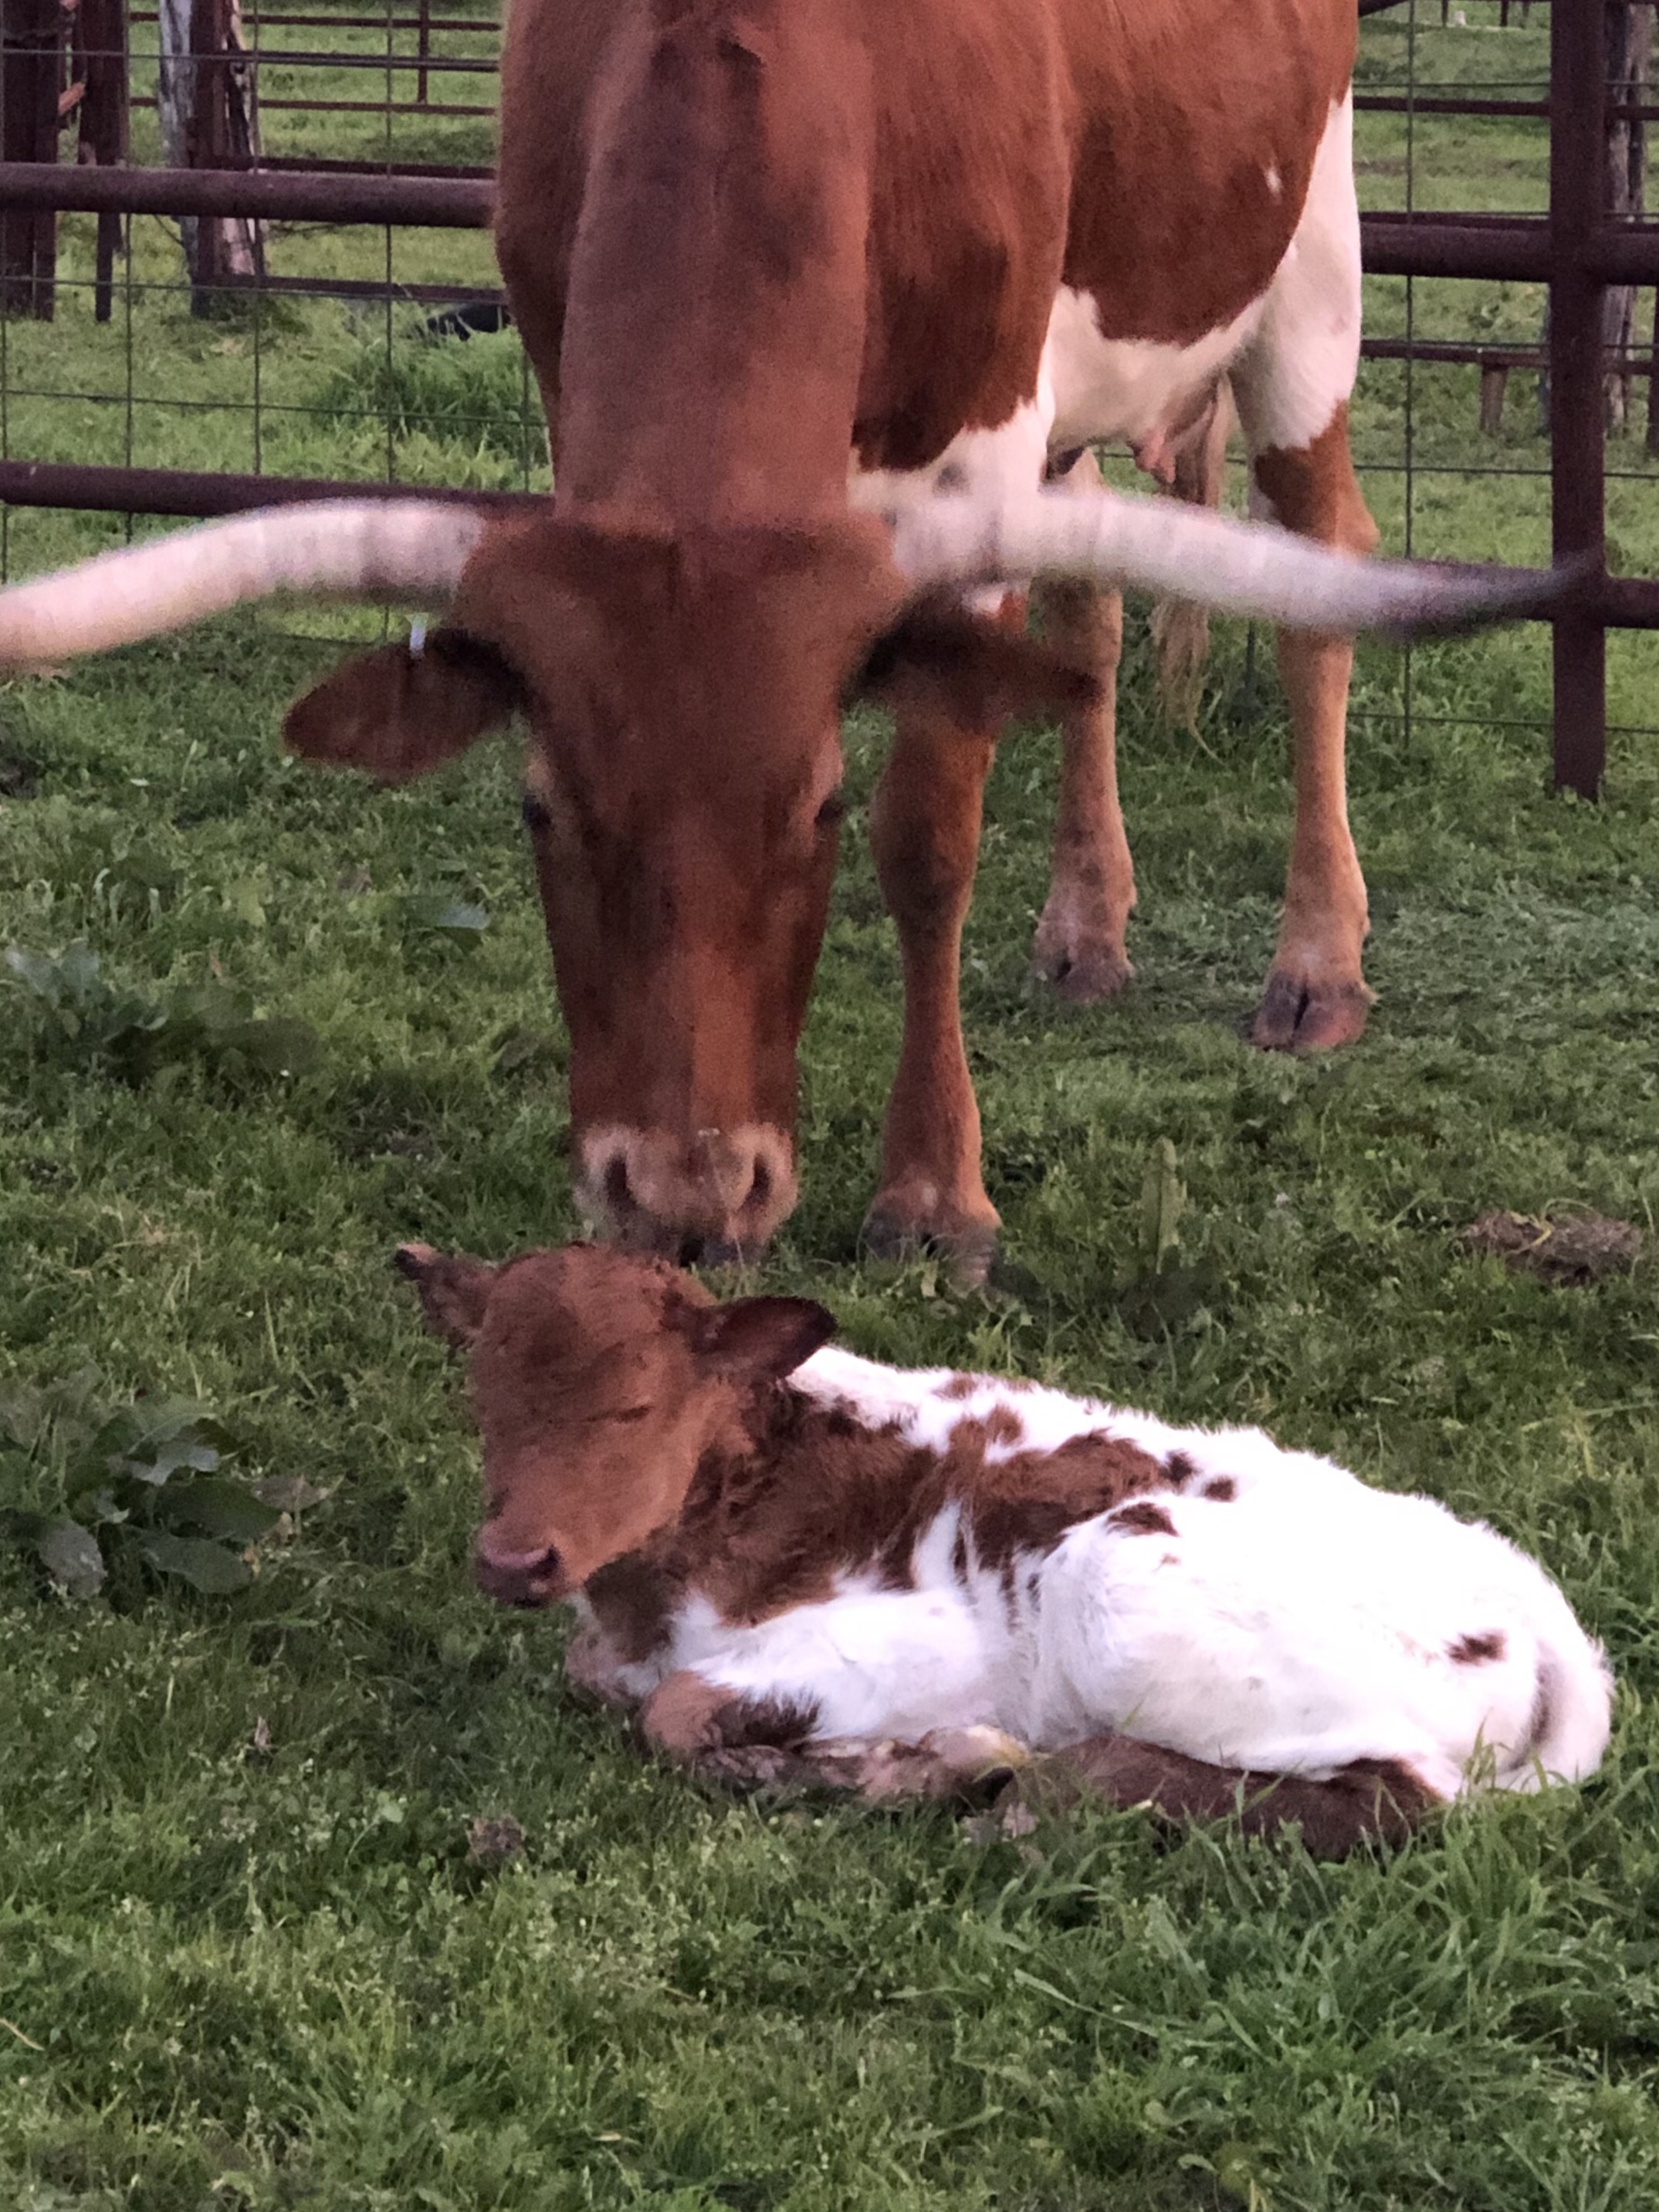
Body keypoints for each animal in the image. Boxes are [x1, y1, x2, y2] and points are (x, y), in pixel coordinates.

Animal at [0, 0, 1566, 1274]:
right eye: (537, 808)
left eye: (816, 809)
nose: (684, 1196)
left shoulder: (975, 451)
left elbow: (929, 834)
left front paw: (934, 1198)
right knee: (1092, 620)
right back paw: (1083, 928)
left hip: (1307, 277)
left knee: (1320, 577)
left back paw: (1316, 967)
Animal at [394, 1239, 1613, 1855]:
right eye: (481, 1390)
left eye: (636, 1407)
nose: (511, 1561)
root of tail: (1528, 1599)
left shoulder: (926, 1643)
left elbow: (679, 1709)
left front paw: (866, 1764)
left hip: (1115, 1580)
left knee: (1403, 1799)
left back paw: (1027, 1783)